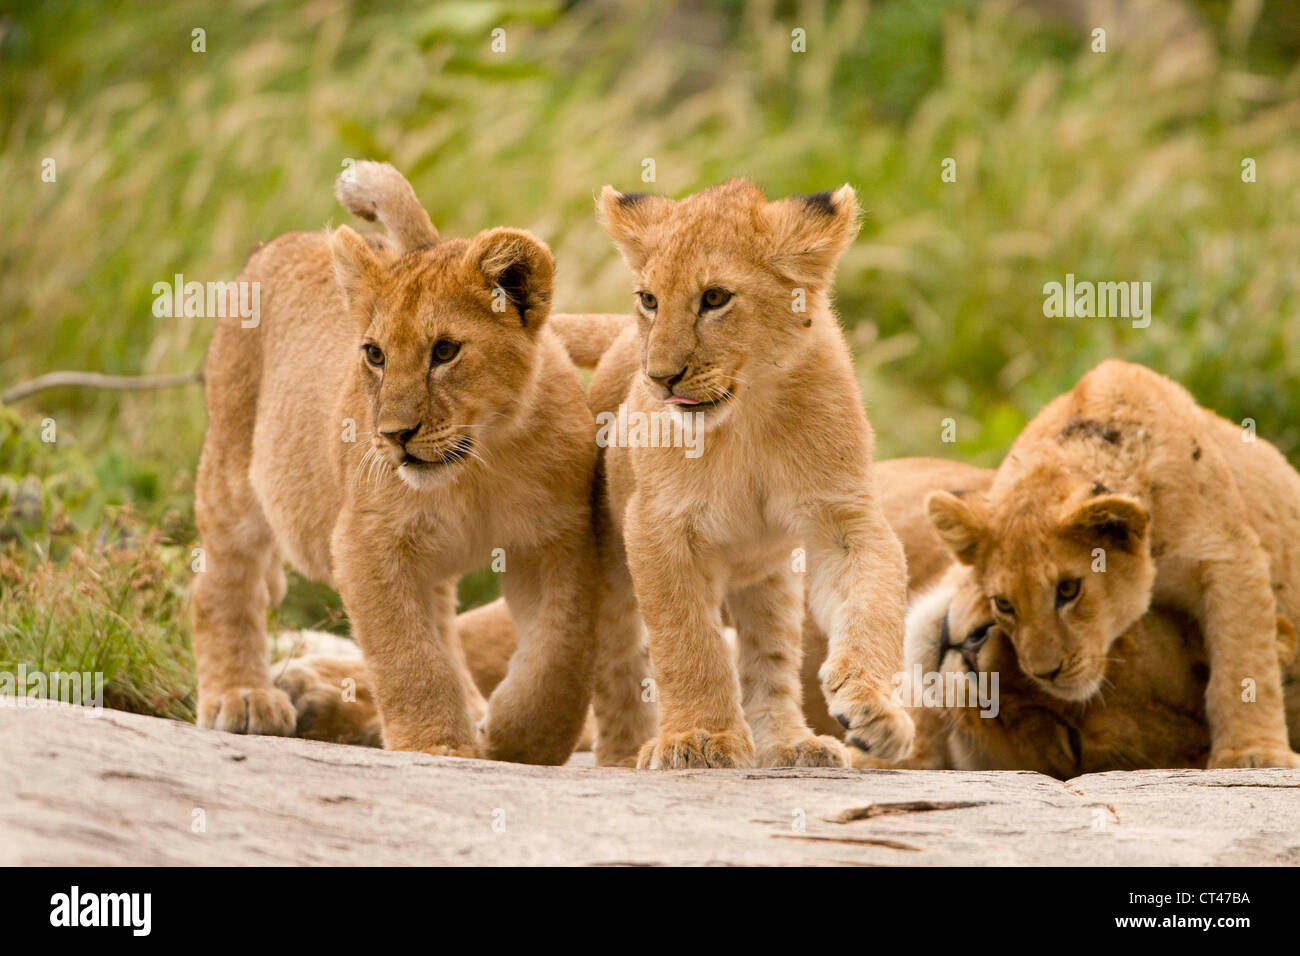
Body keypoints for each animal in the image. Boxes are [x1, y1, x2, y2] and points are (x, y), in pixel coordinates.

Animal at [190, 161, 600, 764]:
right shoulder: (367, 540)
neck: (480, 465)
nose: (394, 435)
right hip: (233, 465)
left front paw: (521, 739)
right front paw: (438, 745)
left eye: (445, 351)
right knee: (221, 578)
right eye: (375, 355)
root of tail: (280, 244)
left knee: (443, 620)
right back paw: (241, 695)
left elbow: (560, 653)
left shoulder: (558, 538)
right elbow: (407, 655)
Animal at [586, 180, 913, 769]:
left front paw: (875, 709)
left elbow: (873, 603)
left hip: (771, 577)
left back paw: (791, 744)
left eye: (715, 298)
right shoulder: (656, 525)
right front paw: (697, 738)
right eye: (649, 300)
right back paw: (625, 752)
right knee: (619, 658)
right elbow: (687, 641)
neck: (747, 416)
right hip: (607, 565)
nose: (660, 378)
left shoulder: (844, 515)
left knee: (771, 657)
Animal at [925, 359, 1300, 769]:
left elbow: (1244, 660)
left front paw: (1252, 753)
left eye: (1068, 589)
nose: (1046, 673)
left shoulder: (1228, 552)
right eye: (1004, 604)